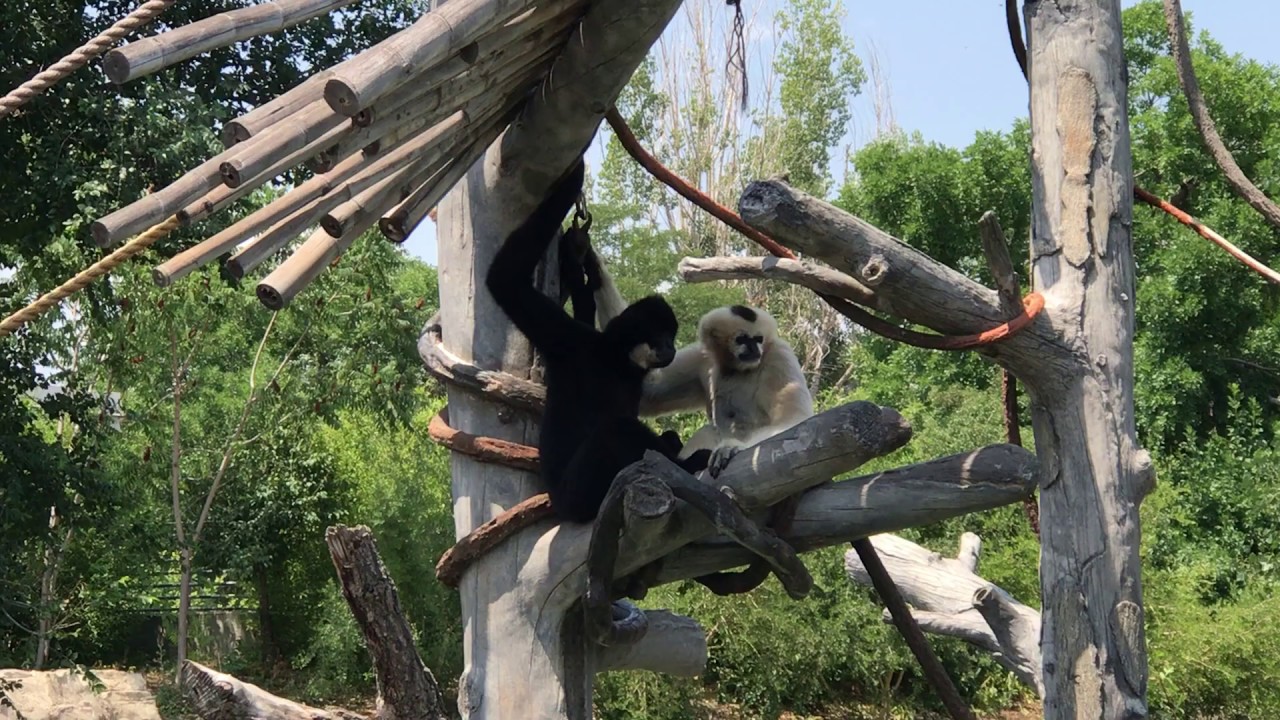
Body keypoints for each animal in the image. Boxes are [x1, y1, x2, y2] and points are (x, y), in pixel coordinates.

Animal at [485, 158, 709, 523]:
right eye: (660, 336)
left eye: (671, 335)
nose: (670, 347)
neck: (616, 360)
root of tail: (559, 505)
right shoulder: (571, 342)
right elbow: (506, 280)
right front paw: (572, 181)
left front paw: (581, 262)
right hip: (578, 493)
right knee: (615, 430)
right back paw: (686, 466)